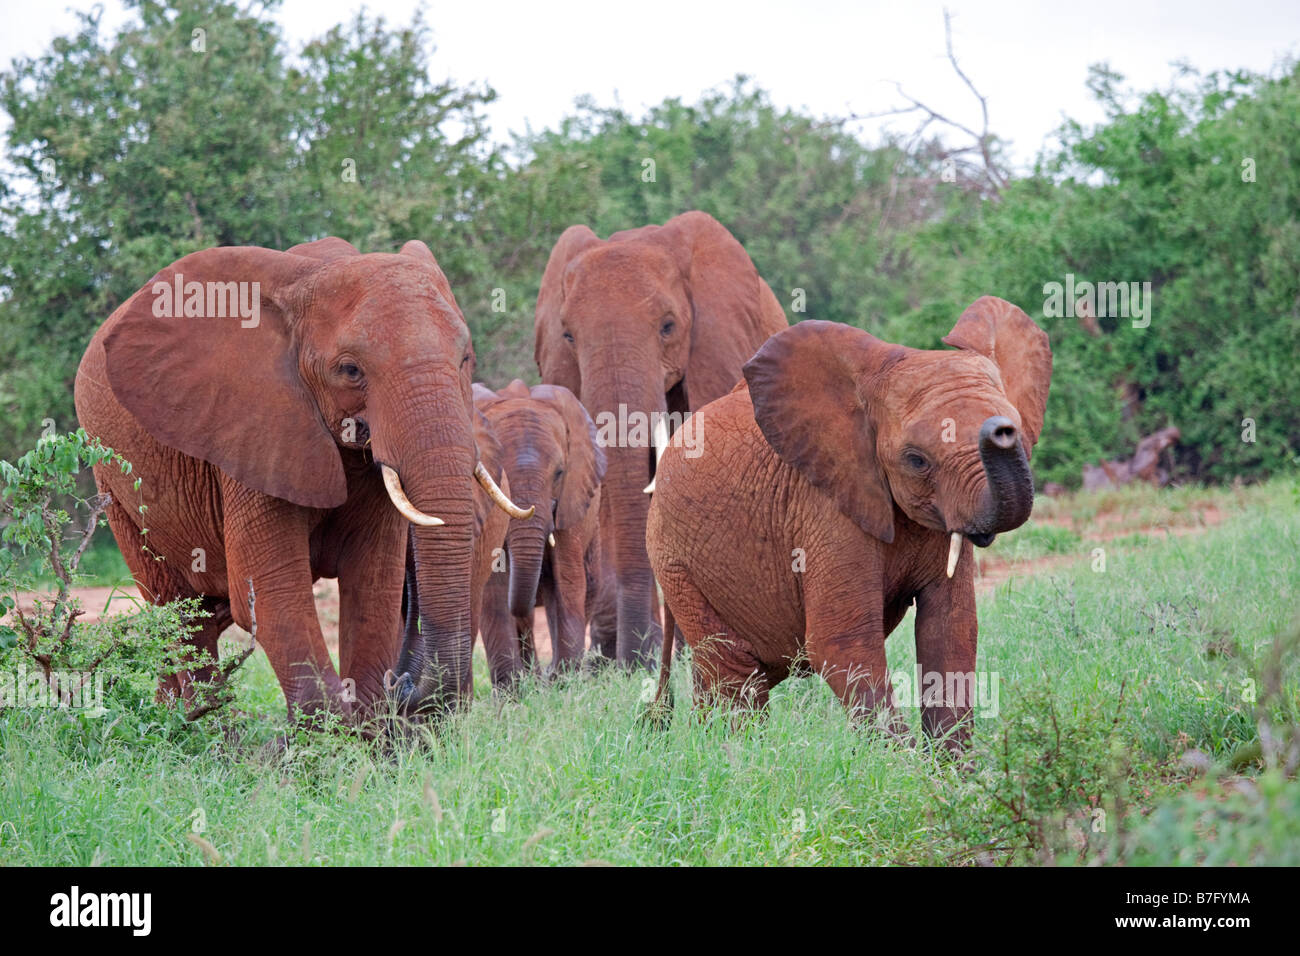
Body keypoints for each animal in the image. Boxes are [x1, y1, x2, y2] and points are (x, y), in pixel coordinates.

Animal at [74, 236, 533, 722]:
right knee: (177, 614)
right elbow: (270, 587)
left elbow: (374, 581)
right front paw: (326, 735)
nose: (405, 687)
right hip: (112, 483)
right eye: (350, 370)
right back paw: (203, 726)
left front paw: (370, 733)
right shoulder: (251, 428)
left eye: (466, 359)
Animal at [472, 380, 607, 689]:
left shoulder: (571, 499)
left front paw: (563, 682)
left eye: (559, 473)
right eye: (496, 476)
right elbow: (494, 588)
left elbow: (567, 580)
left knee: (588, 587)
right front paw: (511, 692)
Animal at [646, 297, 1053, 751]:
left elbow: (951, 630)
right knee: (735, 672)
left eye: (1017, 425)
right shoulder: (824, 508)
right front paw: (903, 766)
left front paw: (955, 768)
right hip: (676, 562)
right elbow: (842, 642)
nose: (1000, 429)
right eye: (916, 460)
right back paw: (744, 755)